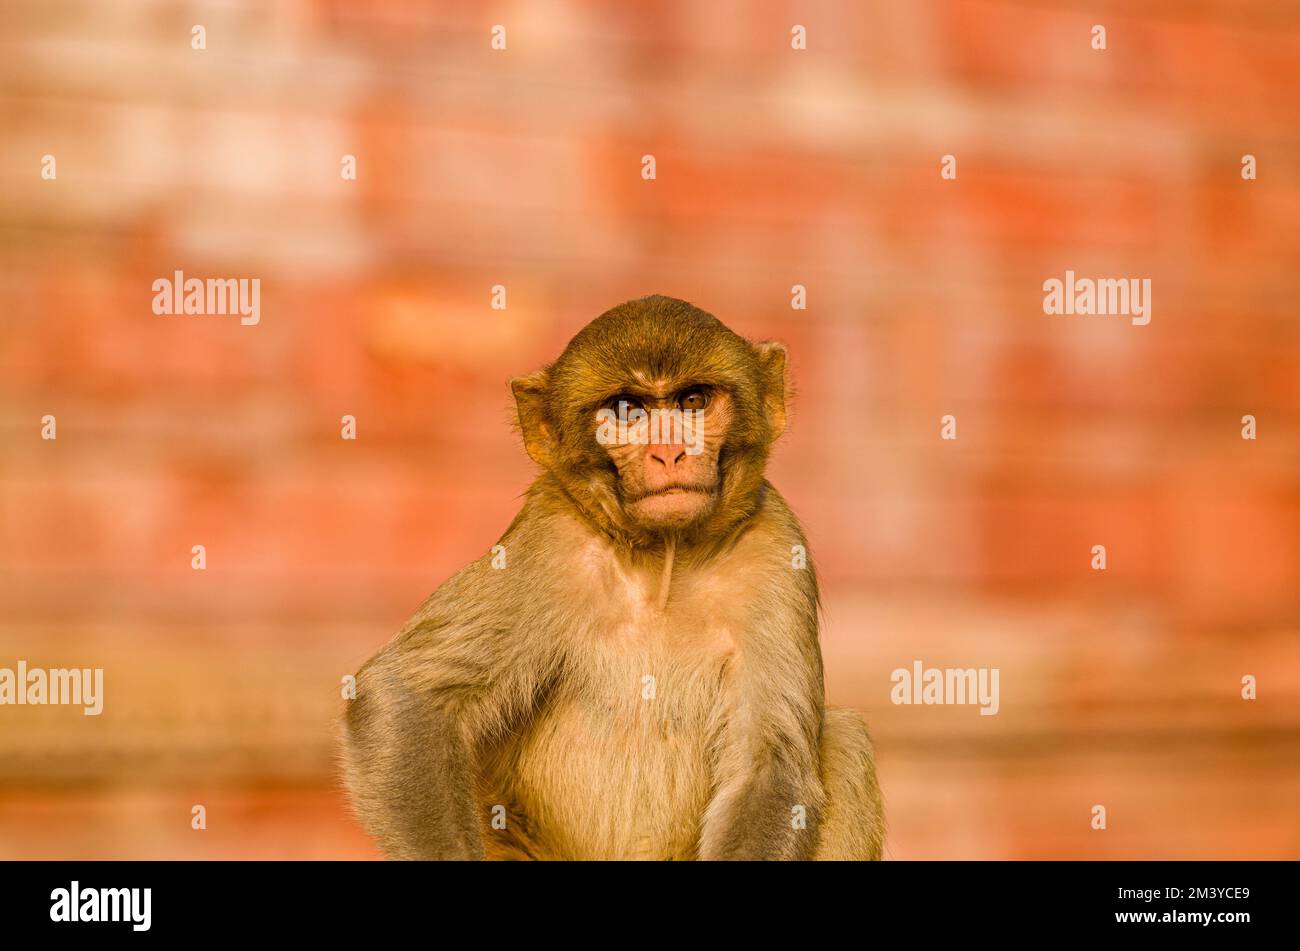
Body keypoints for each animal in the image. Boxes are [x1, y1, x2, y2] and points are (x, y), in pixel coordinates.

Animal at [341, 295, 884, 860]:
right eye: (628, 411)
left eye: (693, 401)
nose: (669, 452)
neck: (664, 560)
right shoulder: (549, 541)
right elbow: (407, 695)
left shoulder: (775, 546)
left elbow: (769, 771)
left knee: (844, 737)